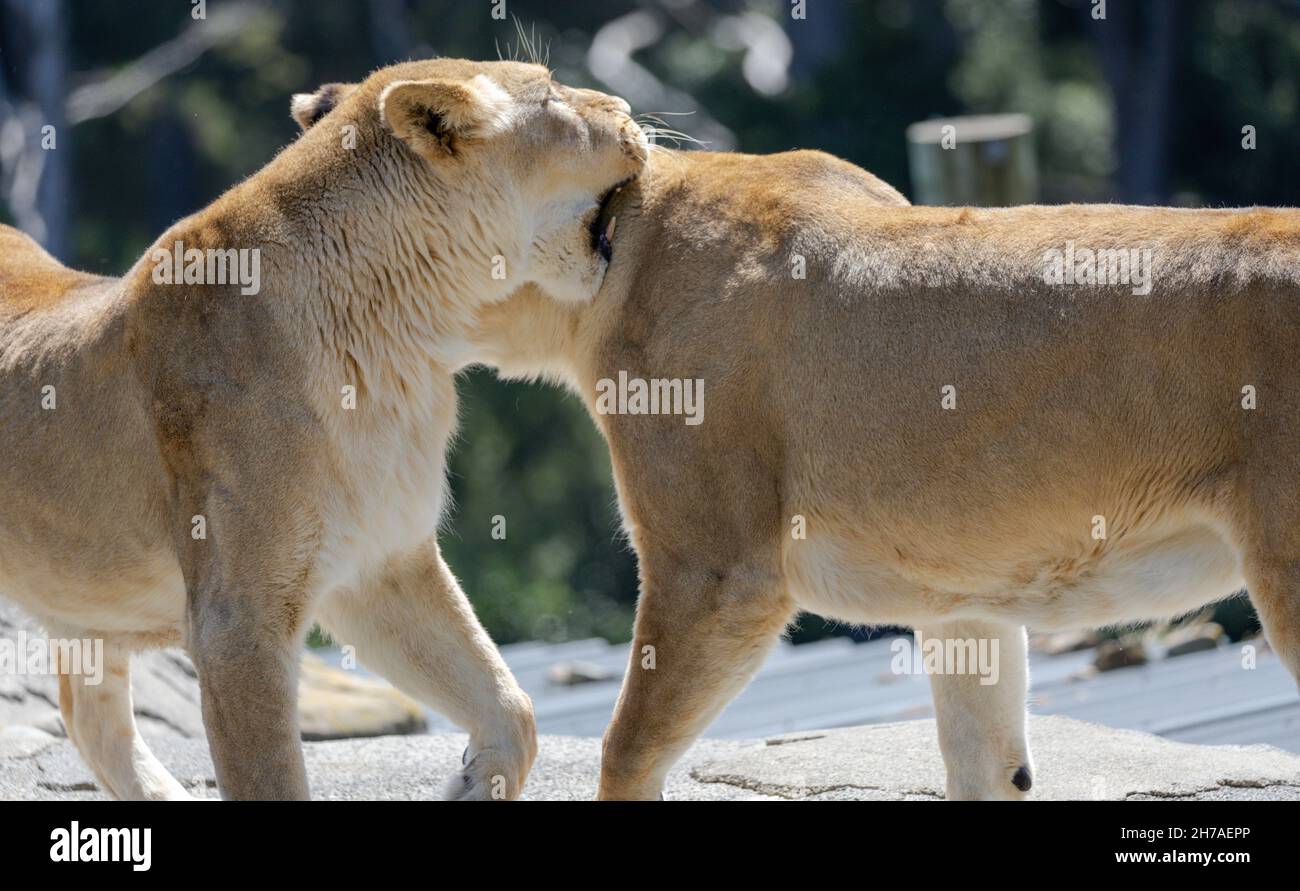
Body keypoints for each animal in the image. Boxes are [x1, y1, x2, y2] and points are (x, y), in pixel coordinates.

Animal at [0, 58, 647, 800]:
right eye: (552, 95)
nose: (628, 109)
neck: (403, 333)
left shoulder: (382, 563)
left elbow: (510, 703)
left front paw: (471, 784)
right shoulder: (239, 623)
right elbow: (272, 777)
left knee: (90, 714)